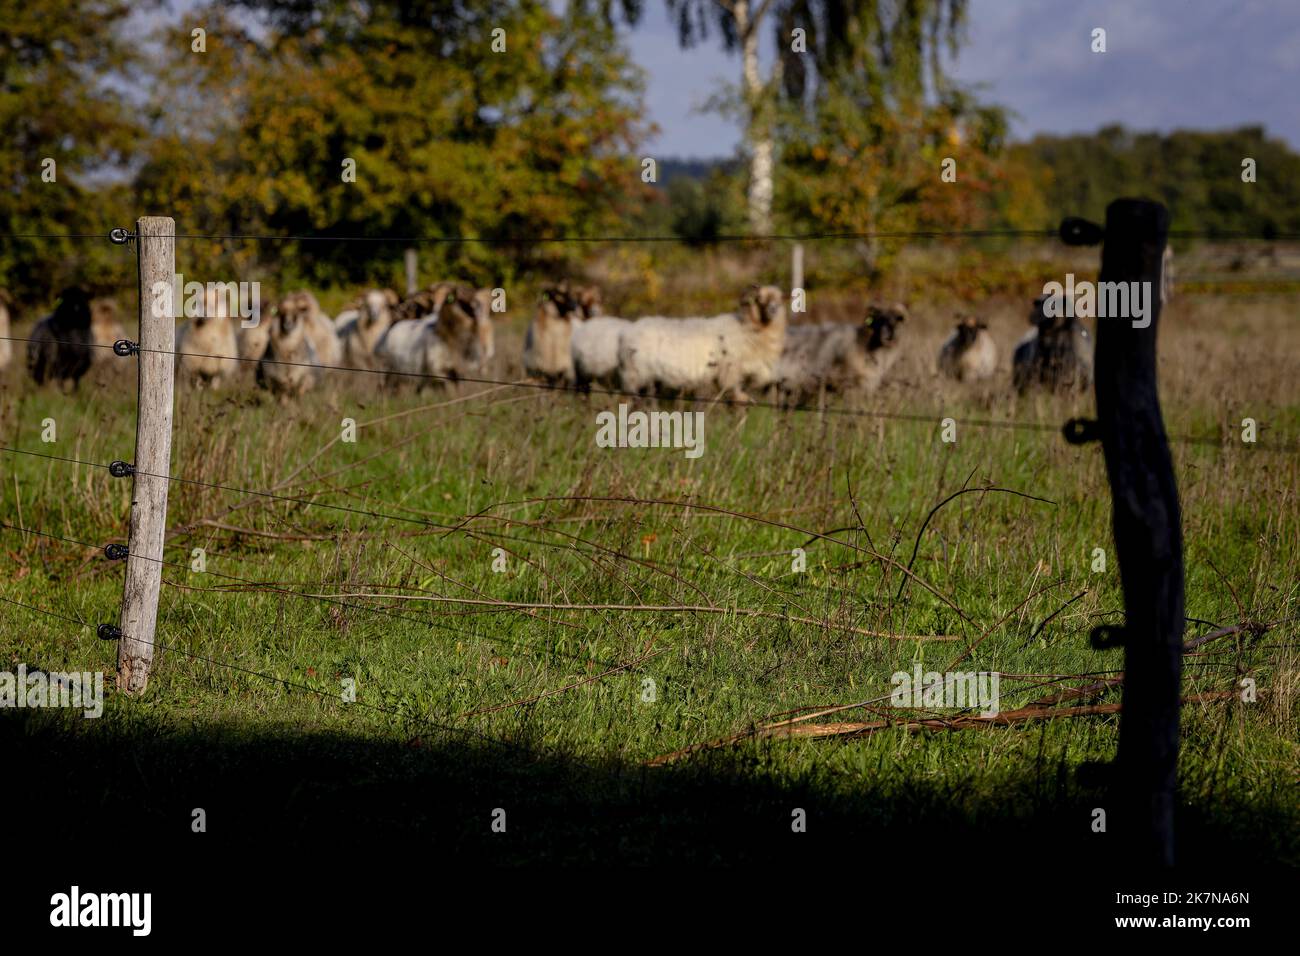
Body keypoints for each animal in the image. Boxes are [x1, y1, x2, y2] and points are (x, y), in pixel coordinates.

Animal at [617, 285, 787, 402]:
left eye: (779, 299)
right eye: (759, 299)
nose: (773, 309)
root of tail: (626, 334)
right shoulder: (730, 373)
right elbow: (737, 396)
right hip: (634, 375)